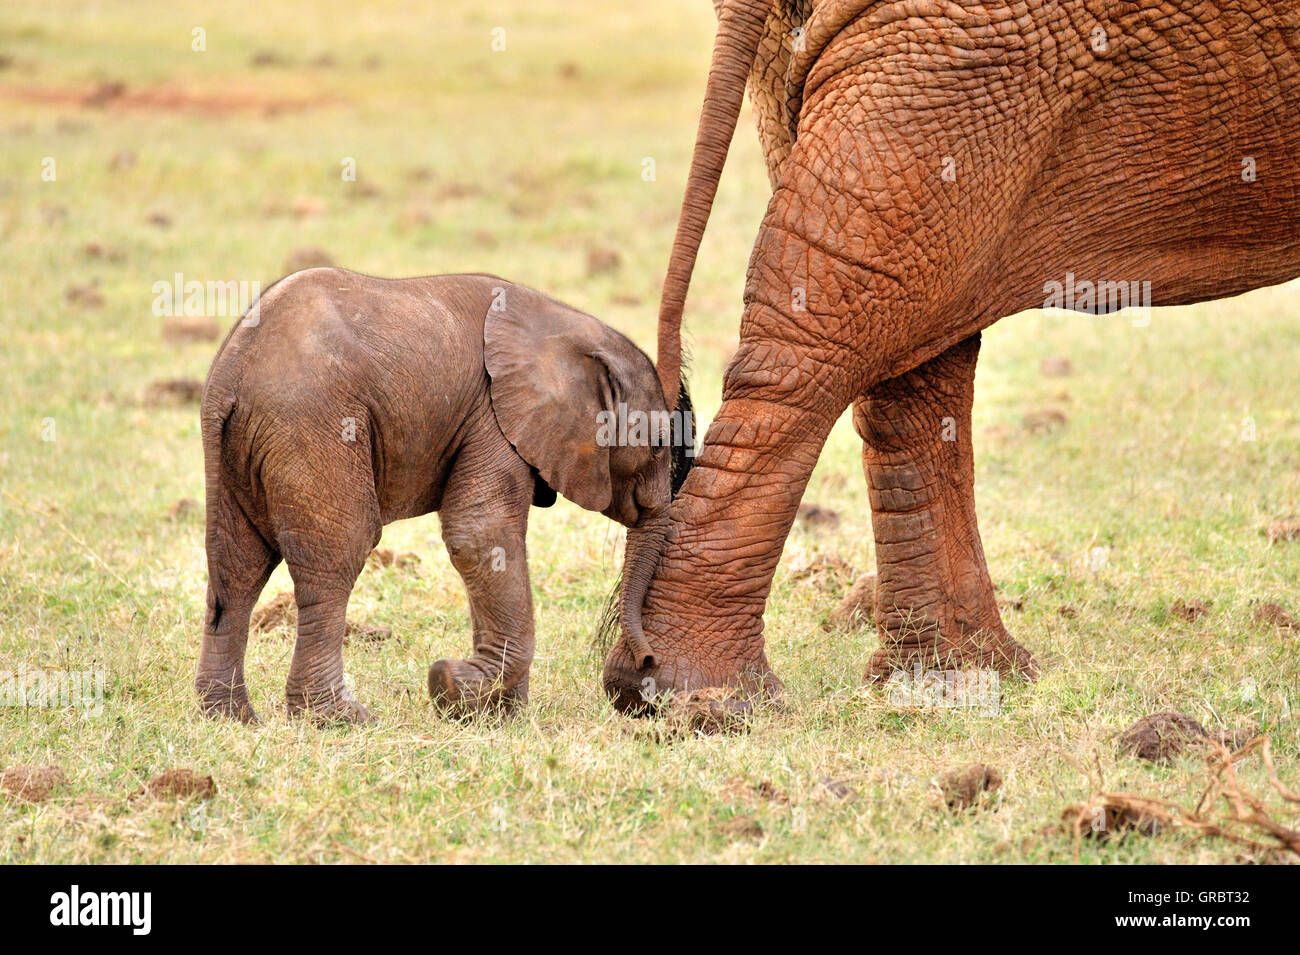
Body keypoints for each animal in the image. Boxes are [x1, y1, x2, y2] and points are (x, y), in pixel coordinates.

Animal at [195, 268, 691, 722]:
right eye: (657, 446)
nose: (647, 661)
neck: (567, 328)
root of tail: (231, 373)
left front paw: (497, 713)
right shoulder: (493, 416)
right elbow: (480, 534)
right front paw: (453, 688)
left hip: (238, 449)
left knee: (236, 566)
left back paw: (230, 717)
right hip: (312, 425)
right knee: (337, 556)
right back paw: (338, 718)